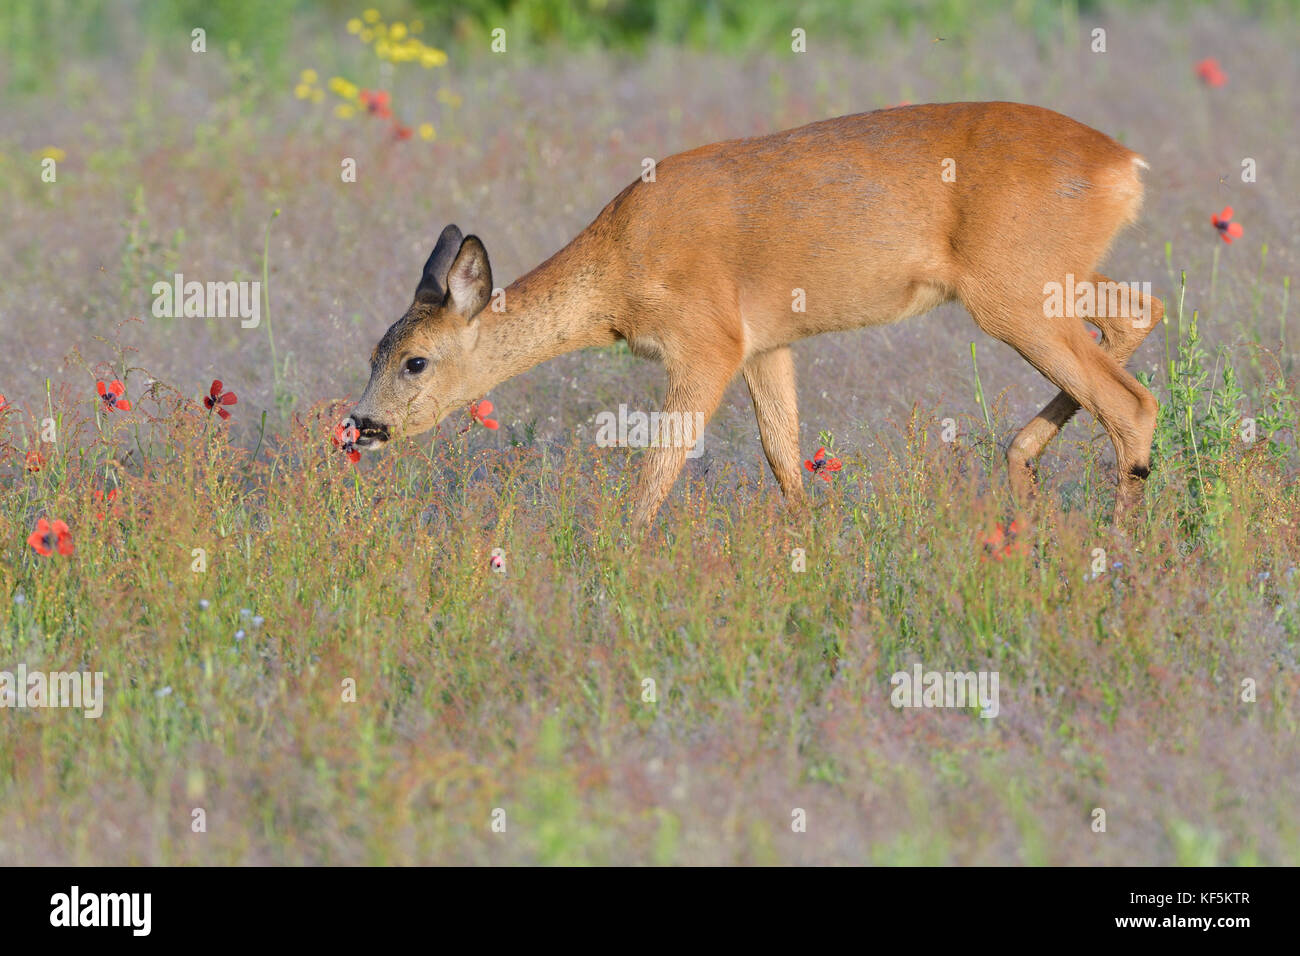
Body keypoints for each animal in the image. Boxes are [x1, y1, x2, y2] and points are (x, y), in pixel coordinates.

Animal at [345, 101, 1162, 528]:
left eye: (416, 360)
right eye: (372, 353)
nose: (362, 426)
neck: (619, 268)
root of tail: (1125, 167)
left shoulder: (706, 340)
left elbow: (660, 466)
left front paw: (616, 558)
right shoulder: (765, 343)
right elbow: (782, 453)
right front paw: (812, 545)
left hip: (1011, 289)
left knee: (1131, 401)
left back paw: (1114, 547)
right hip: (1044, 279)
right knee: (1138, 313)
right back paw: (1023, 468)